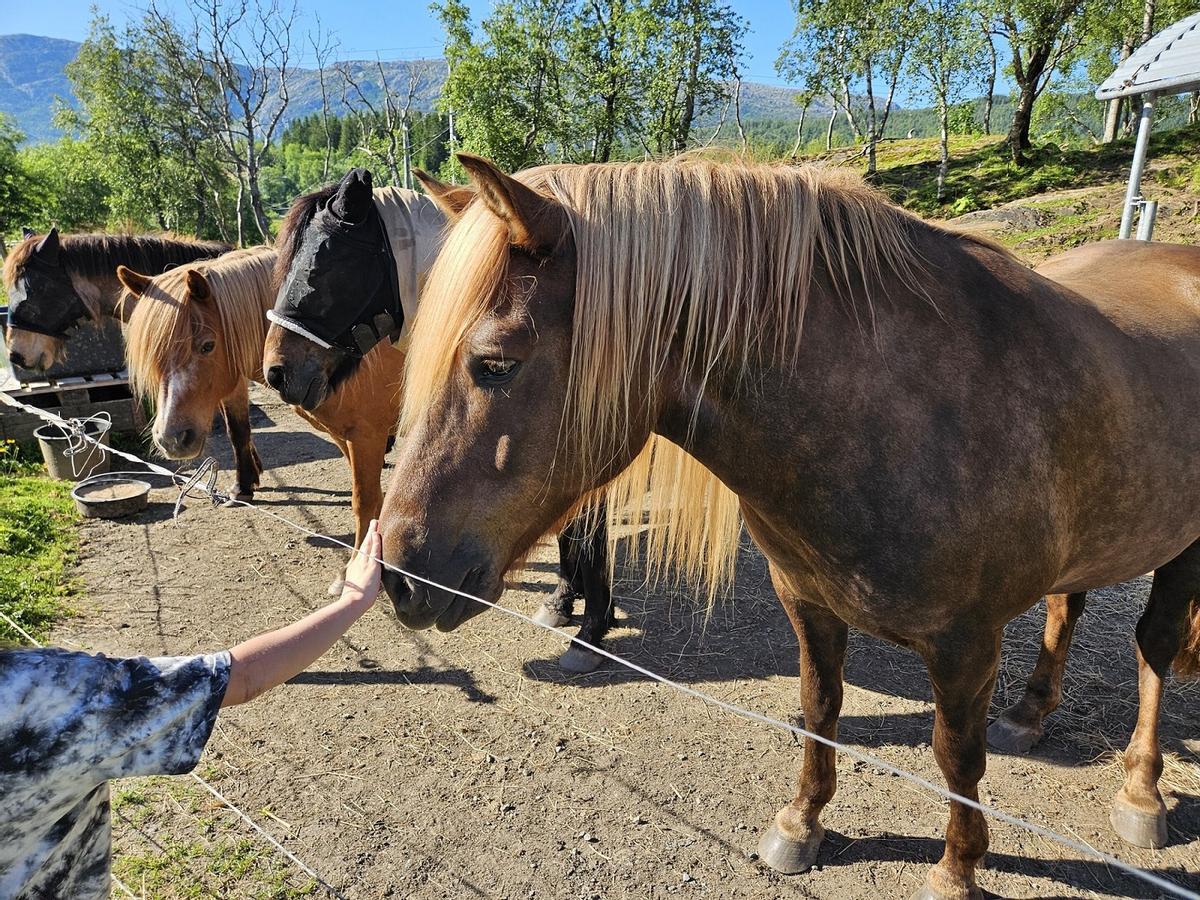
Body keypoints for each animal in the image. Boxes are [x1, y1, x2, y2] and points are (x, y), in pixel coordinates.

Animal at [118, 248, 405, 593]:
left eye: (207, 345)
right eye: (151, 353)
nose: (171, 438)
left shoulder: (366, 436)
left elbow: (364, 502)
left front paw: (355, 572)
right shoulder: (345, 437)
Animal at [376, 154, 1200, 900]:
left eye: (495, 363)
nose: (397, 572)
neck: (893, 408)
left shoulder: (966, 640)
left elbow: (954, 757)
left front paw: (958, 868)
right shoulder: (807, 600)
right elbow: (818, 708)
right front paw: (802, 824)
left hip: (1183, 547)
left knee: (1154, 645)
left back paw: (1141, 793)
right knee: (1069, 604)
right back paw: (1029, 715)